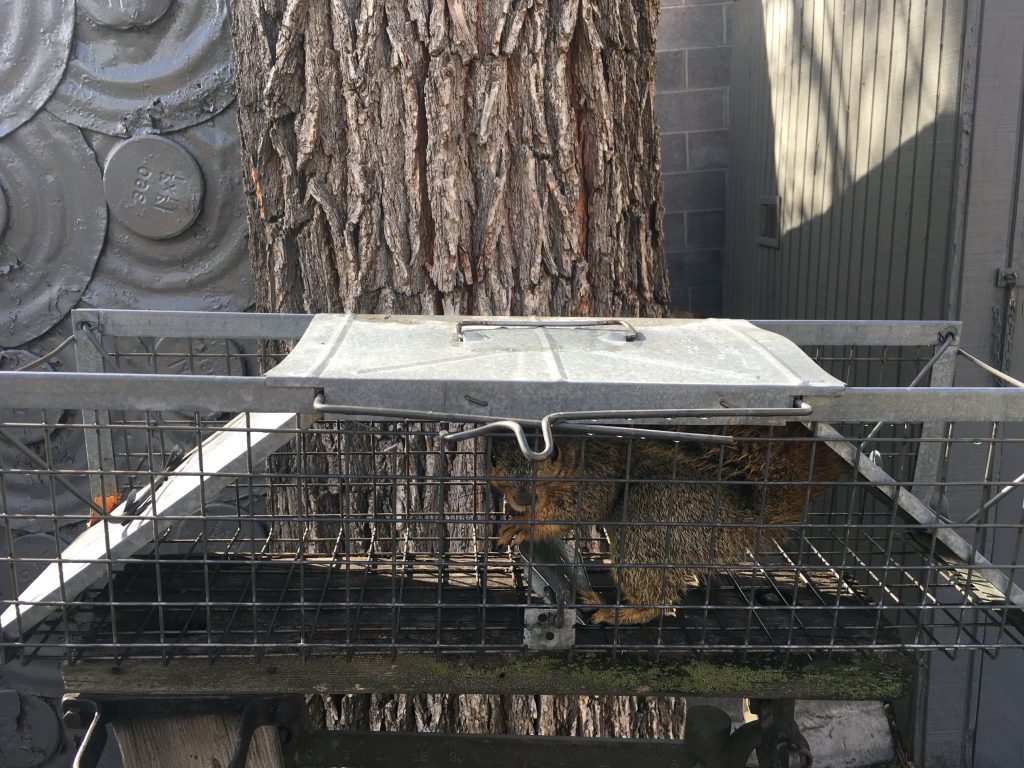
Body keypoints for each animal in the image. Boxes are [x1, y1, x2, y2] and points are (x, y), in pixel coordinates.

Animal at [488, 425, 848, 625]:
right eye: (493, 458)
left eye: (554, 455)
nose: (523, 497)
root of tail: (739, 522)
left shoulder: (599, 473)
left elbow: (574, 511)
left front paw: (524, 526)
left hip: (652, 516)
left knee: (657, 601)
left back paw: (620, 611)